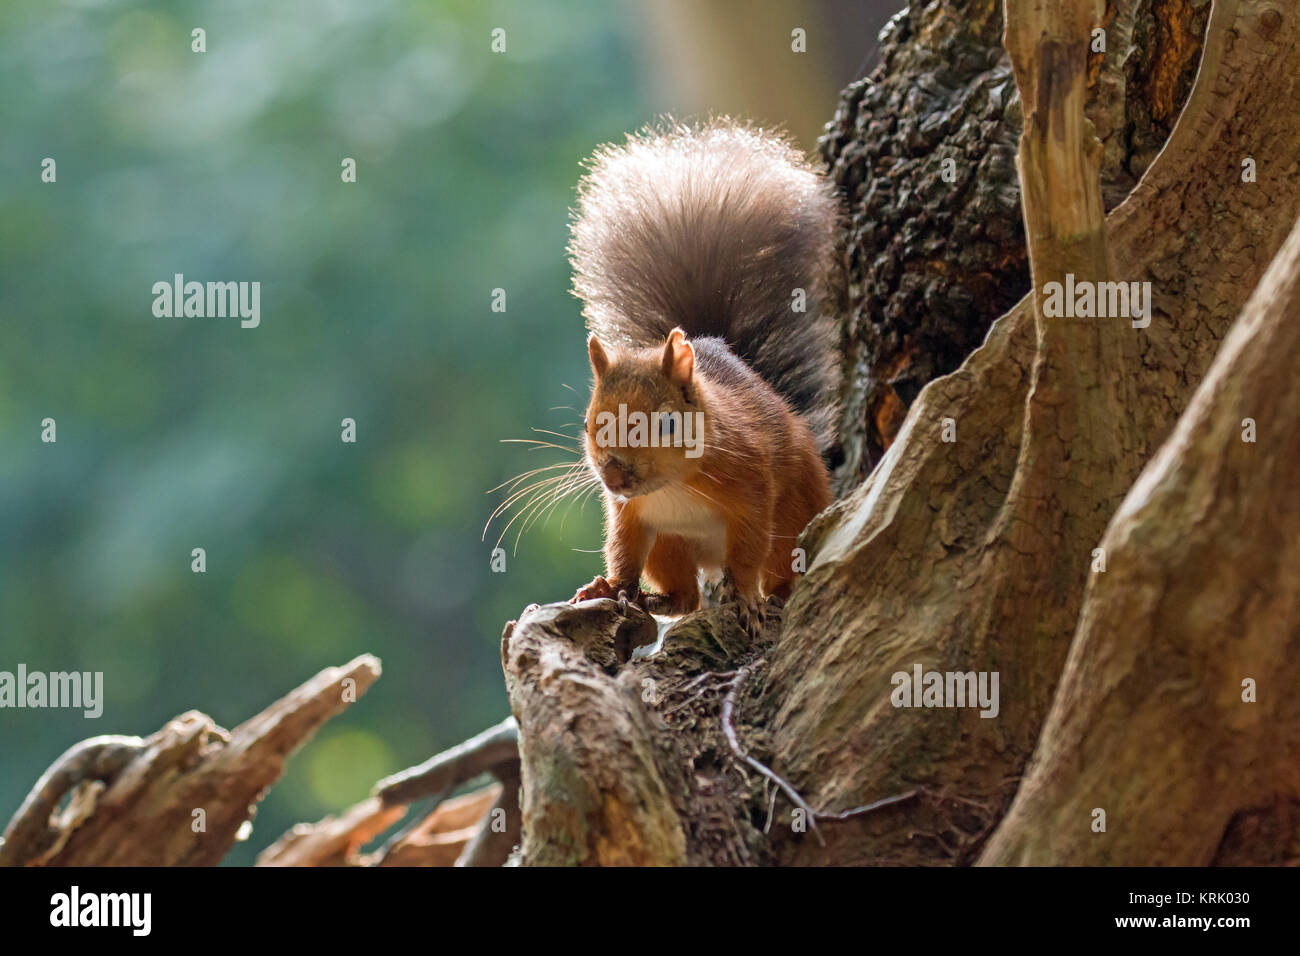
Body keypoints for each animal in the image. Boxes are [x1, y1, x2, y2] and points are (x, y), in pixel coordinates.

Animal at [566, 119, 841, 637]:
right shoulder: (630, 515)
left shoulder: (752, 486)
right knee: (686, 597)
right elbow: (623, 552)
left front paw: (748, 599)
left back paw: (771, 599)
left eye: (668, 423)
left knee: (775, 567)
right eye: (590, 424)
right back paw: (651, 598)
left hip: (794, 516)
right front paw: (611, 586)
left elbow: (749, 549)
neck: (674, 484)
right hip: (670, 546)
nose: (614, 475)